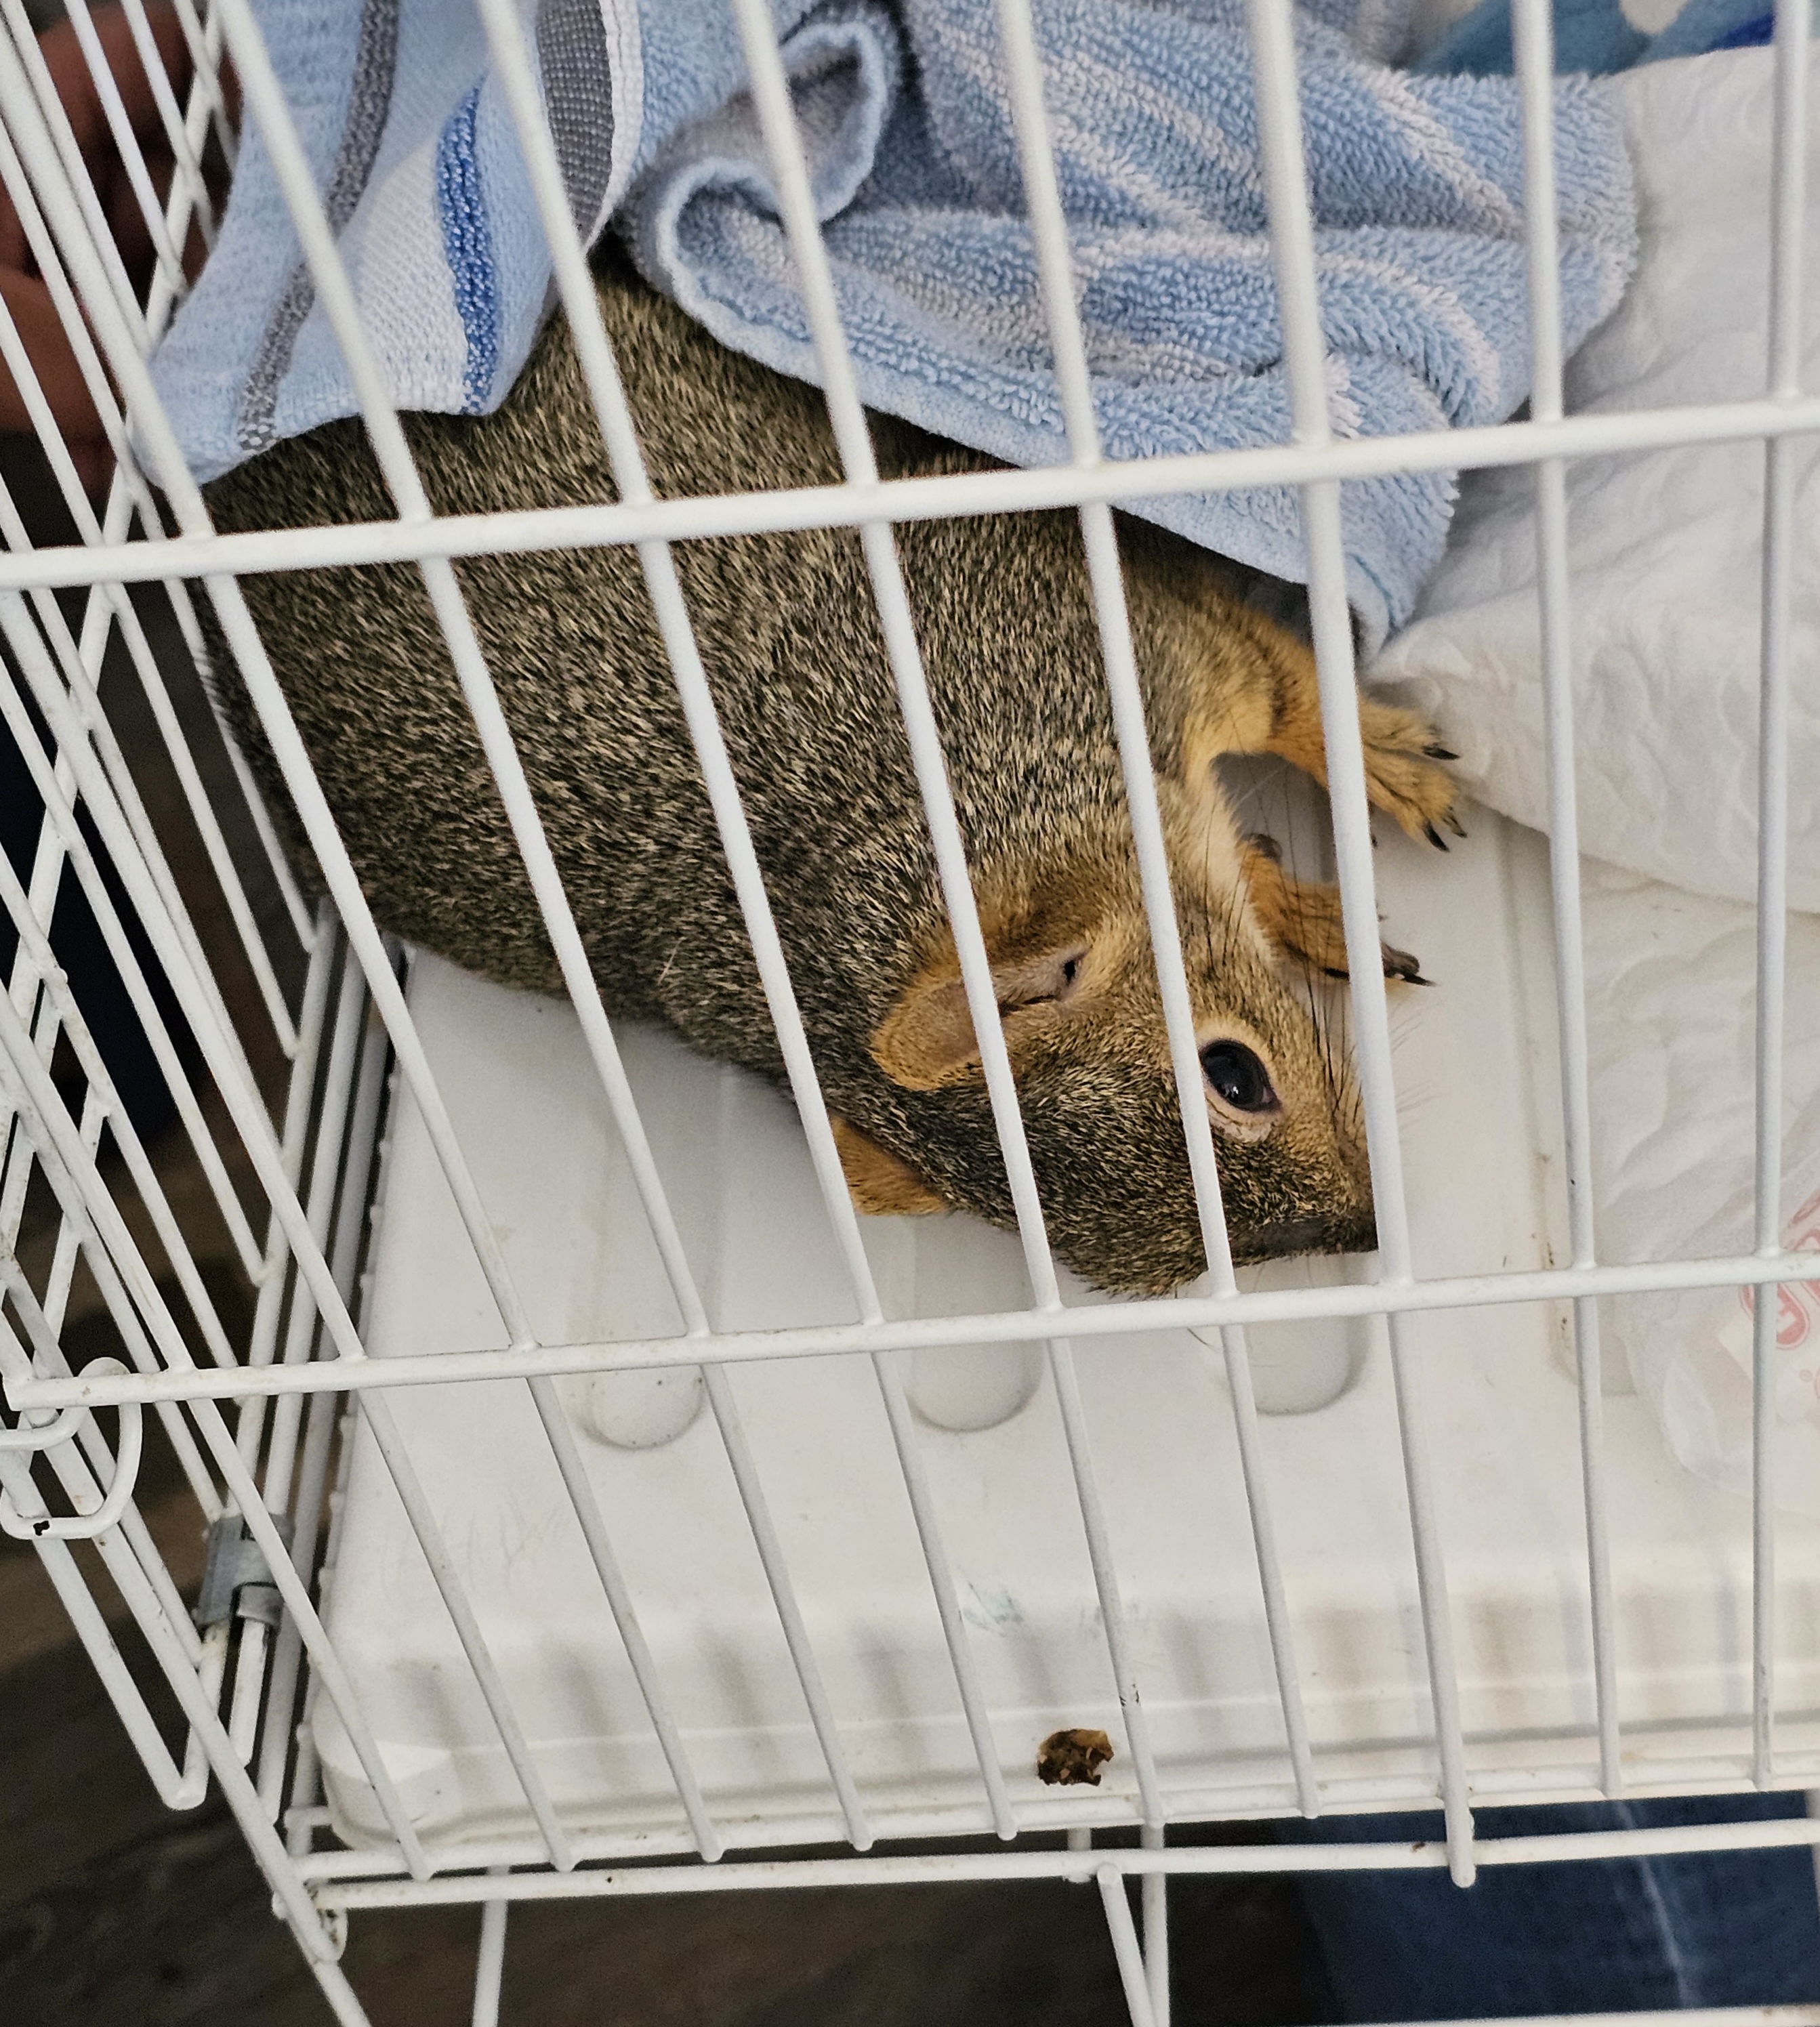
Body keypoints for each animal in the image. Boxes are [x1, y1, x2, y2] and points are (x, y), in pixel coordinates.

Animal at [199, 252, 1460, 1298]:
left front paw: (1377, 777)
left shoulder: (1121, 628)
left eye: (1231, 1077)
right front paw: (1295, 896)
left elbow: (1289, 693)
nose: (1365, 1225)